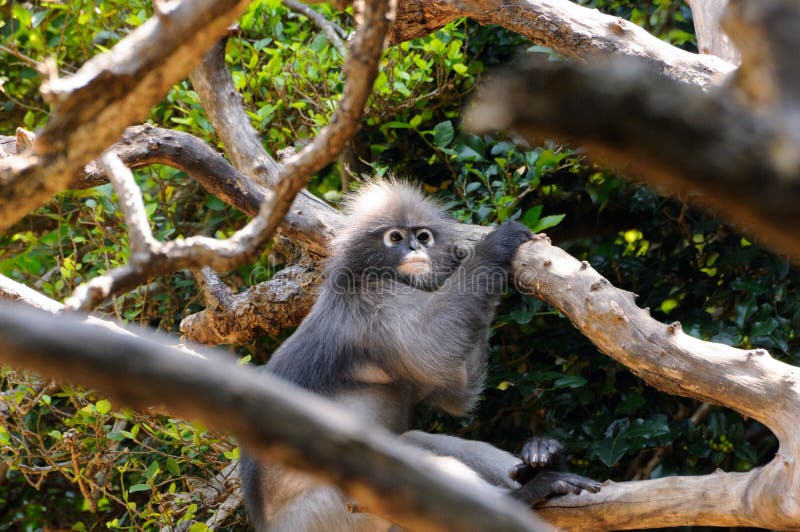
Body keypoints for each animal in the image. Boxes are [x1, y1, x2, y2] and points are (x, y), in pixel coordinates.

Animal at [240, 179, 601, 530]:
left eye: (423, 236)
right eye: (395, 237)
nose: (415, 248)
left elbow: (456, 393)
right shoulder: (374, 302)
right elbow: (433, 346)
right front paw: (496, 243)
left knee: (418, 439)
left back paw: (543, 464)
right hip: (329, 511)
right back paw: (526, 495)